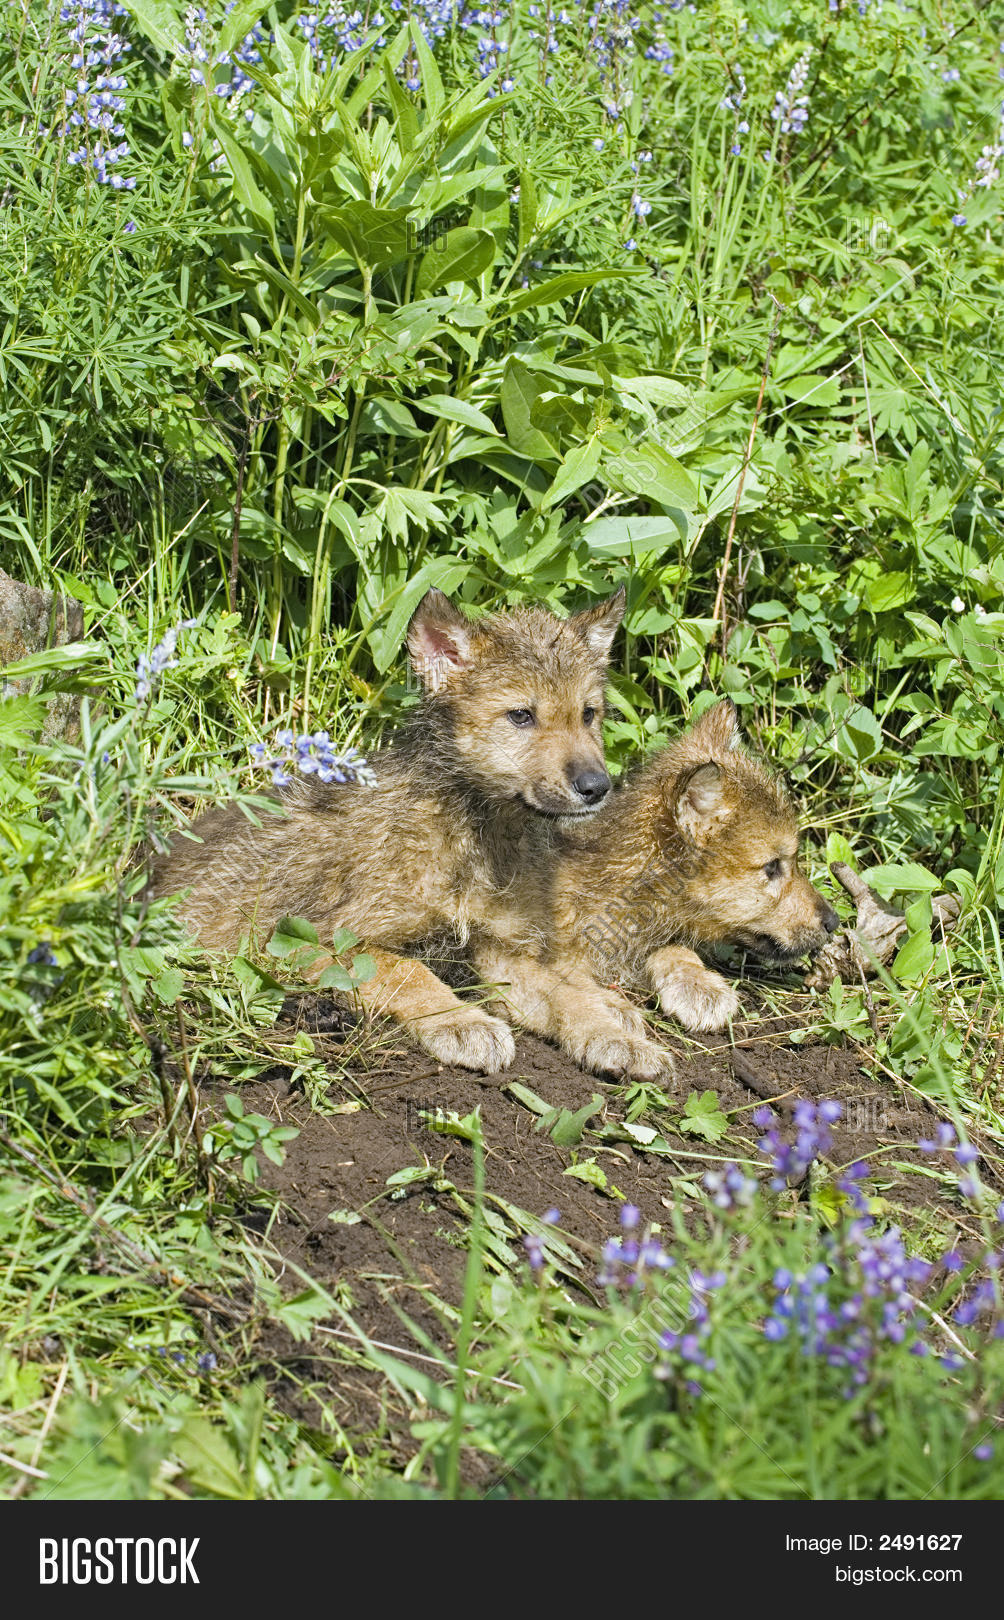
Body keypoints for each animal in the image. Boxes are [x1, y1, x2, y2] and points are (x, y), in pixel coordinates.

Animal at [151, 587, 672, 1079]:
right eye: (521, 716)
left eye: (588, 714)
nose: (597, 787)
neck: (475, 835)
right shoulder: (314, 940)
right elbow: (412, 971)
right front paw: (463, 1022)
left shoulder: (501, 953)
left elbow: (566, 997)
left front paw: (613, 1039)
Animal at [482, 699, 839, 1047]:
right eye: (772, 866)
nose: (834, 921)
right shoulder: (505, 954)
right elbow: (564, 981)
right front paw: (610, 1007)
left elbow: (676, 950)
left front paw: (699, 986)